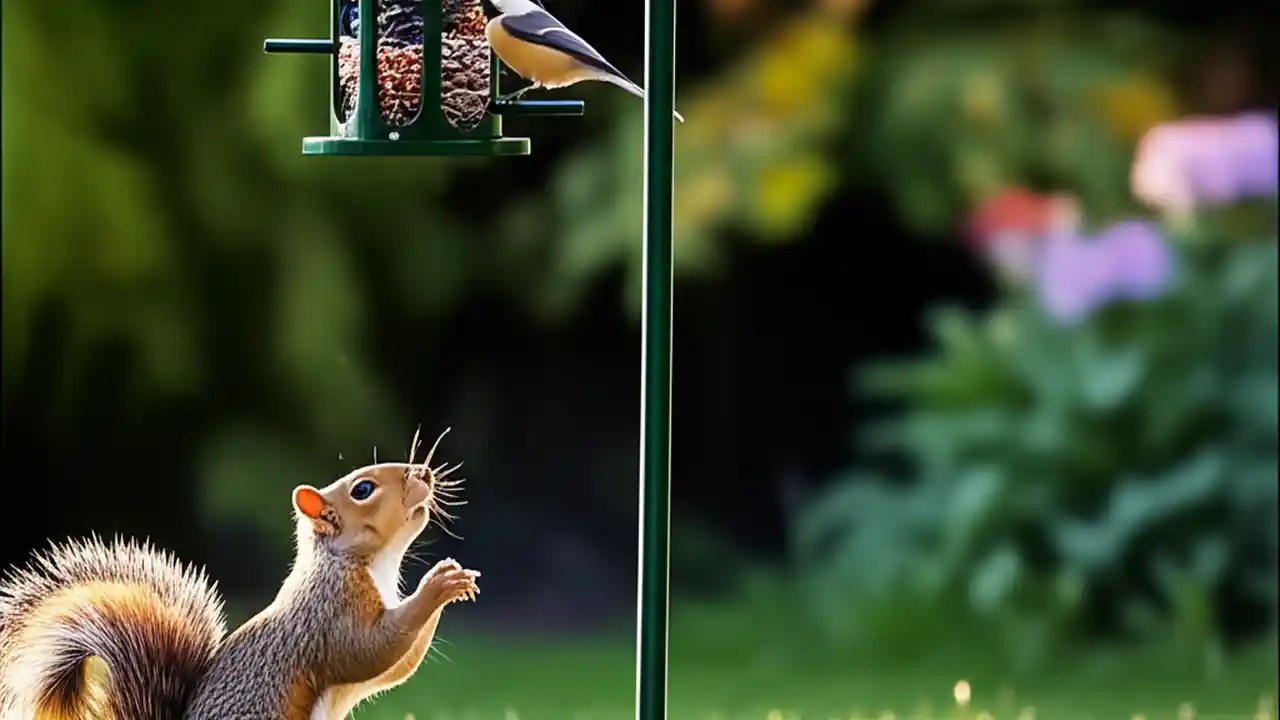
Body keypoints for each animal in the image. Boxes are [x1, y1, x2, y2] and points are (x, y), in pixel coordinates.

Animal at [0, 429, 480, 720]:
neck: (364, 564)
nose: (424, 473)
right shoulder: (326, 617)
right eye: (363, 489)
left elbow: (396, 666)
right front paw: (436, 586)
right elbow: (369, 650)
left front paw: (453, 577)